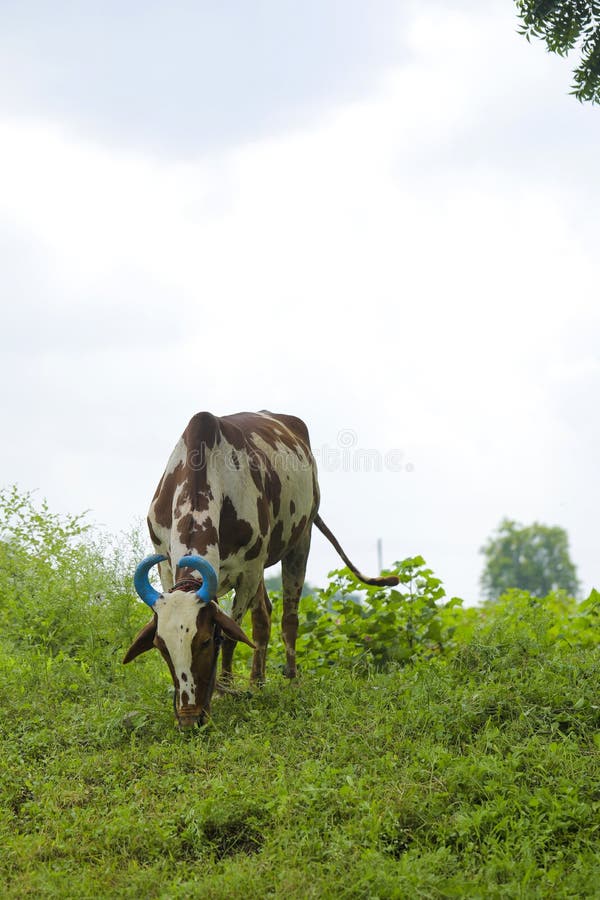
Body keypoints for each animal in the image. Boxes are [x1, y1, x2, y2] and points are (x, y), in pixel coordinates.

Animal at [124, 411, 398, 727]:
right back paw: (258, 681)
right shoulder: (166, 565)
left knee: (286, 619)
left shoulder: (250, 572)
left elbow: (232, 635)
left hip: (300, 541)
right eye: (161, 646)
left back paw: (288, 679)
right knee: (264, 614)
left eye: (204, 642)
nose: (189, 719)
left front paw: (224, 689)